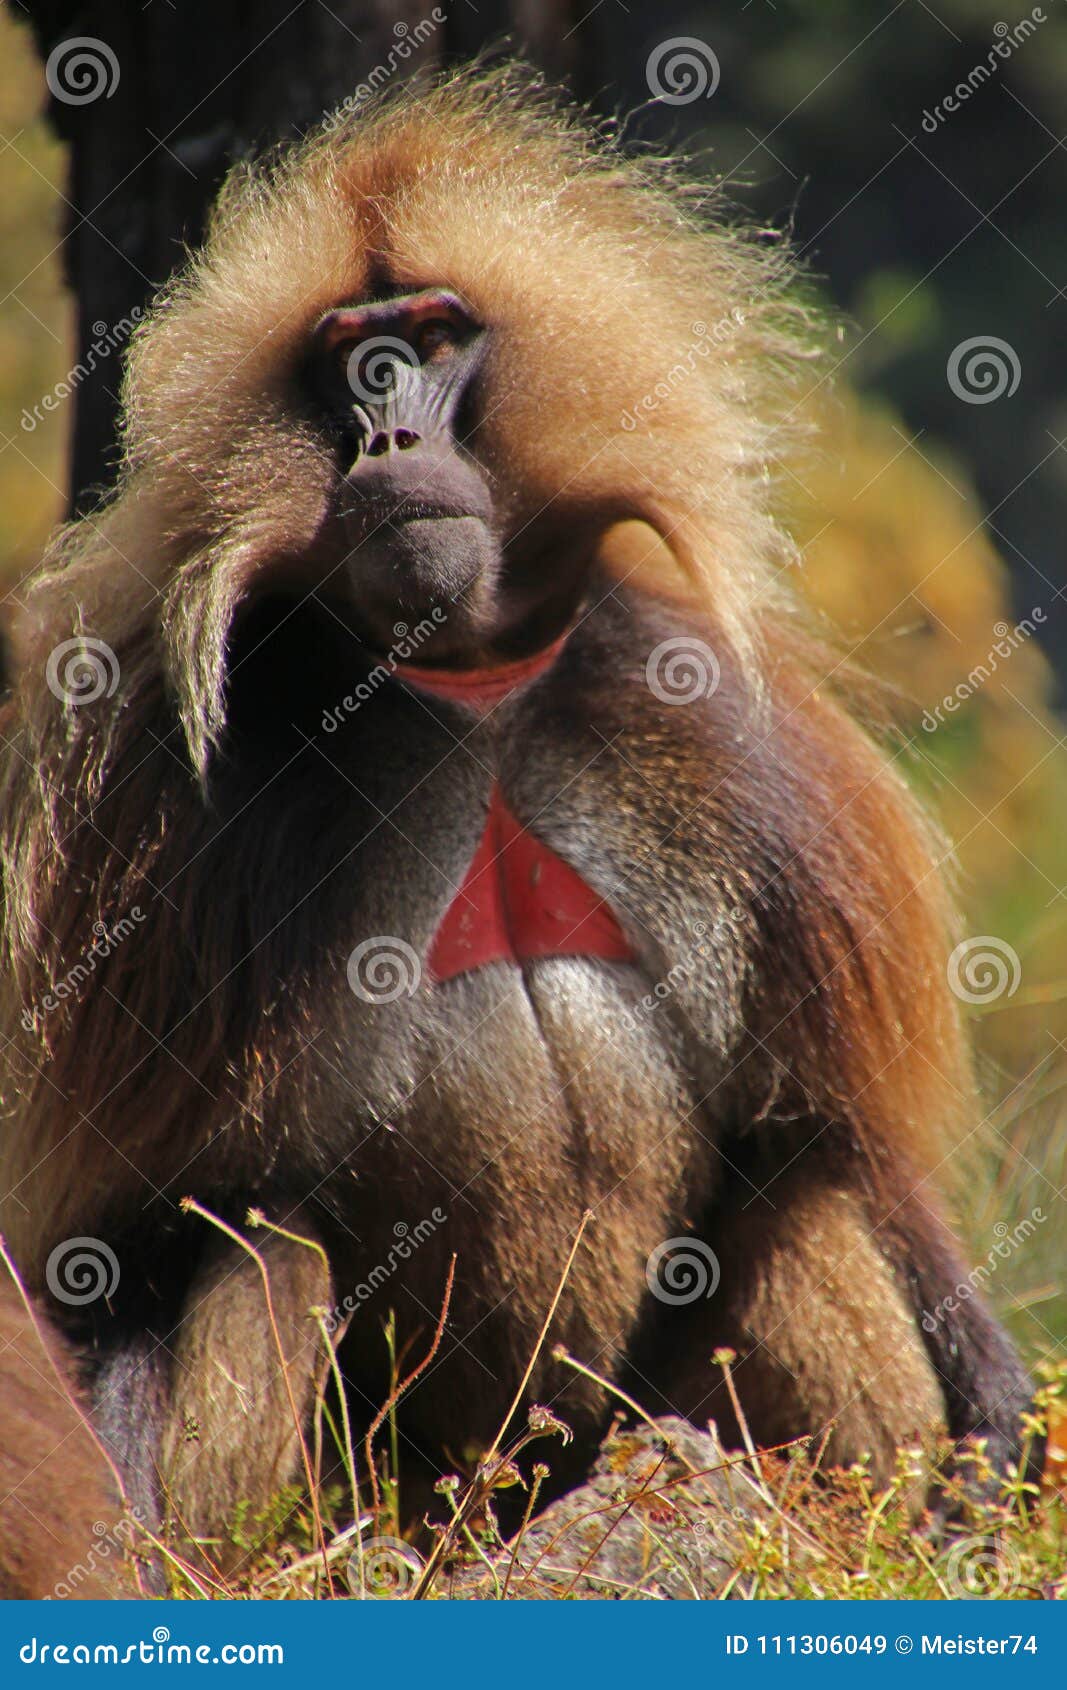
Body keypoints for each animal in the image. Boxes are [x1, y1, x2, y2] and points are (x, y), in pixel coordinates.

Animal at [0, 66, 1035, 1589]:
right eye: (348, 361)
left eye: (430, 343)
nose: (388, 433)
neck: (467, 684)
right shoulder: (140, 803)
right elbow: (128, 1227)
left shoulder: (712, 725)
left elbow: (824, 1128)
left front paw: (997, 1423)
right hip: (402, 1491)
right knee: (262, 1242)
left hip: (619, 1440)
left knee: (796, 1193)